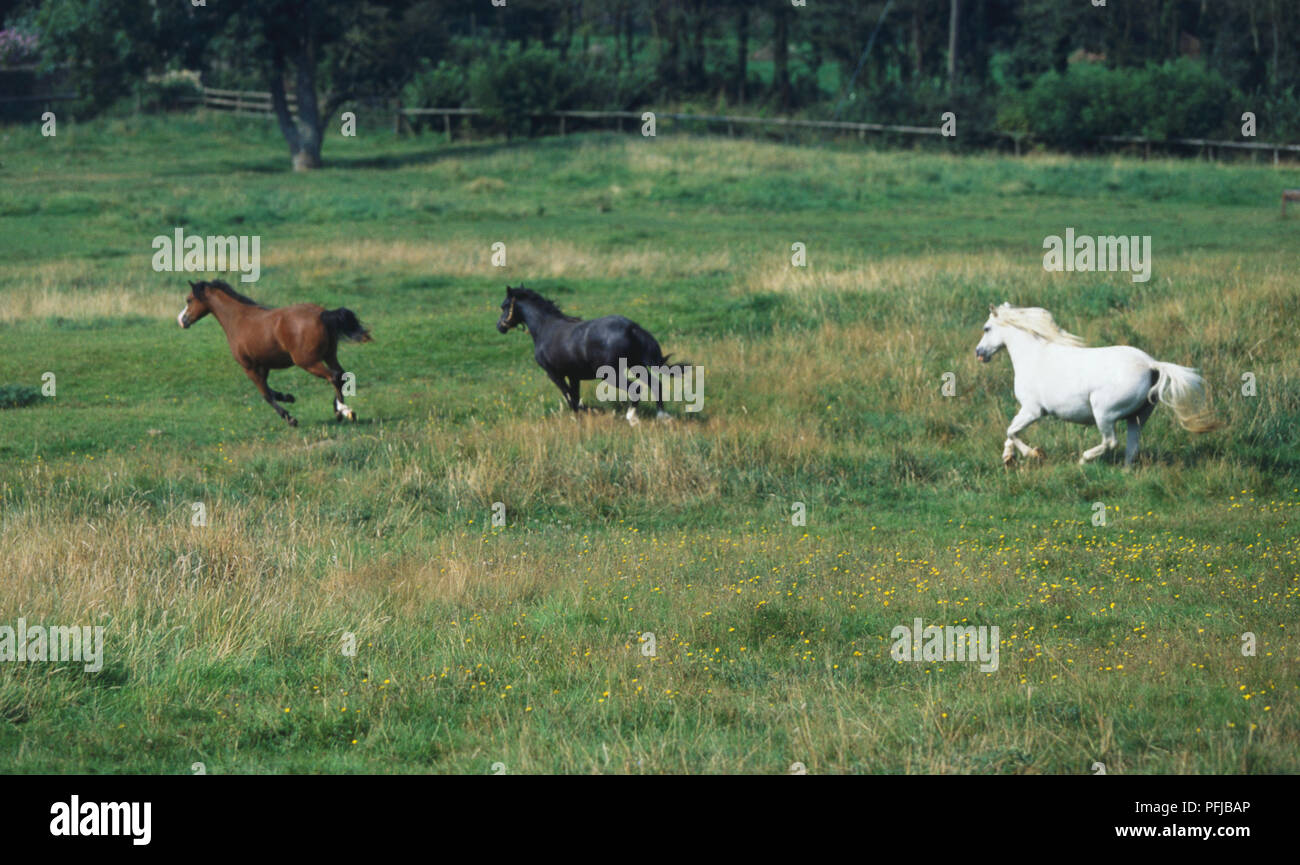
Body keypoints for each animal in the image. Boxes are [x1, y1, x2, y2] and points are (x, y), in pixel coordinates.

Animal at [177, 280, 371, 427]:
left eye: (189, 300)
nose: (182, 321)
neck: (238, 319)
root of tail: (323, 314)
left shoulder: (249, 368)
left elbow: (266, 395)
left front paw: (290, 418)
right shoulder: (264, 366)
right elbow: (270, 391)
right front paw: (288, 397)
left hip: (307, 362)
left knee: (333, 377)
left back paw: (343, 412)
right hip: (329, 355)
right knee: (341, 375)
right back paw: (341, 410)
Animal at [496, 286, 687, 424]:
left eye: (504, 306)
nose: (500, 326)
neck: (546, 328)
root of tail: (632, 327)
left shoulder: (554, 374)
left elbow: (570, 398)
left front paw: (586, 413)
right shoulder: (573, 376)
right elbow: (574, 397)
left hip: (612, 374)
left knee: (637, 388)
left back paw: (631, 418)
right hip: (636, 366)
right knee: (656, 384)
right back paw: (663, 417)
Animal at [974, 303, 1219, 467]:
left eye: (986, 328)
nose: (979, 353)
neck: (1033, 356)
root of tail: (1150, 364)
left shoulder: (1033, 411)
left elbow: (1011, 430)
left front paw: (1034, 453)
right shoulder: (1029, 411)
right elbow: (1010, 432)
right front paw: (1008, 457)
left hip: (1104, 413)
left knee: (1111, 442)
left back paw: (1083, 460)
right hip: (1138, 417)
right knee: (1132, 447)